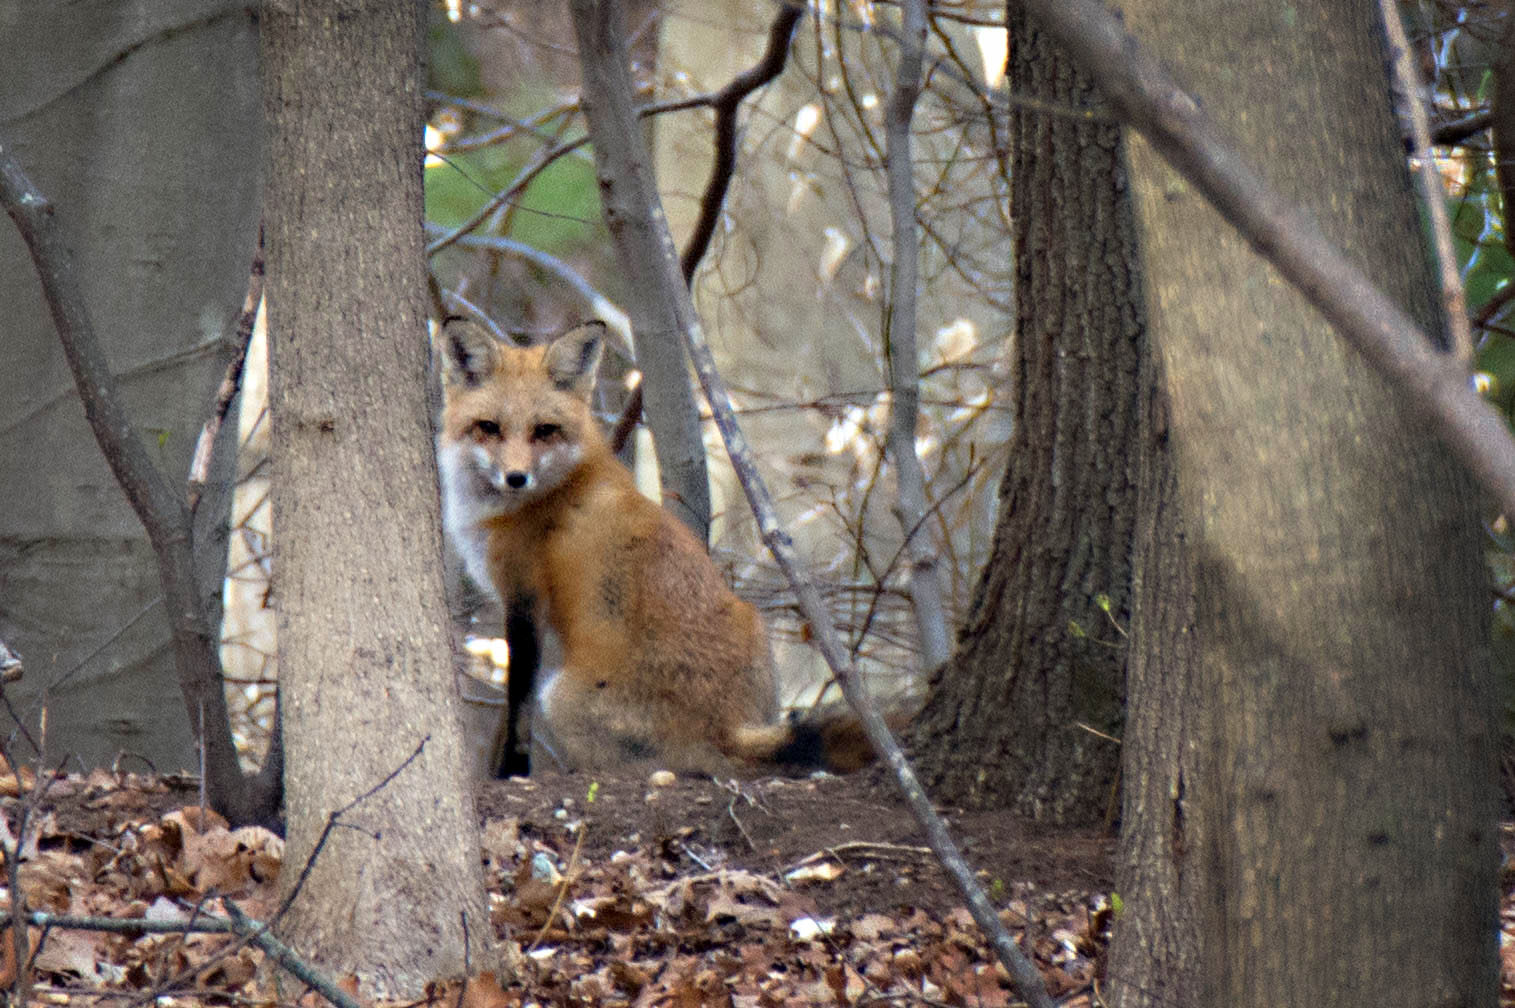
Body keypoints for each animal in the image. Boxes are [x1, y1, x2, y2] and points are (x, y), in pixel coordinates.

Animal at [437, 318, 867, 777]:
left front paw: (511, 771)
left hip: (560, 699)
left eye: (544, 430)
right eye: (489, 427)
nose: (516, 478)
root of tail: (728, 727)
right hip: (755, 622)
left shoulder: (523, 594)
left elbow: (518, 703)